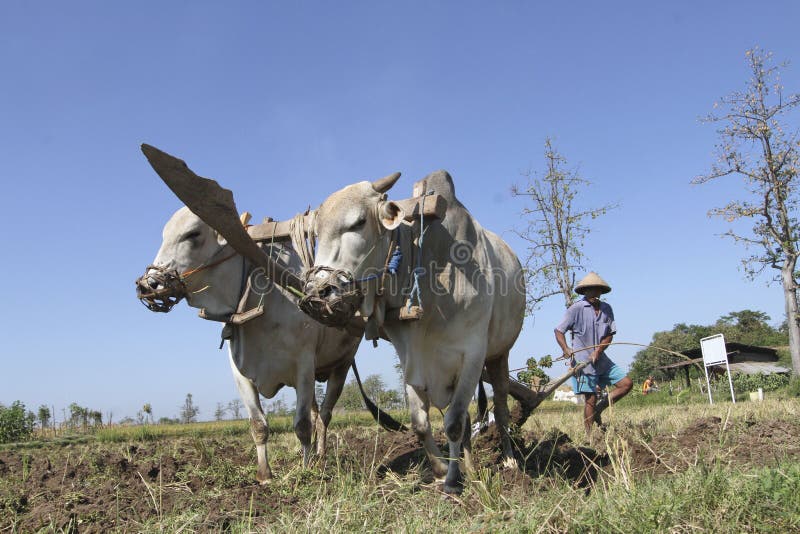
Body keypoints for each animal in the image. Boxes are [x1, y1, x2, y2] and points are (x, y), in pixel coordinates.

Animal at [135, 206, 363, 484]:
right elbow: (259, 425)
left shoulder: (304, 367)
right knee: (316, 411)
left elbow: (301, 426)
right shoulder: (241, 373)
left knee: (324, 416)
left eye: (192, 234)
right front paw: (264, 475)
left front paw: (305, 470)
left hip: (342, 365)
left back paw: (320, 458)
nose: (149, 284)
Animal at [303, 170, 525, 494]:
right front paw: (443, 468)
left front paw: (452, 480)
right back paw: (471, 466)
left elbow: (454, 423)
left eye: (358, 222)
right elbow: (421, 424)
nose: (317, 293)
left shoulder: (473, 354)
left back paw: (509, 460)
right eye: (316, 232)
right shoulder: (410, 356)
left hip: (500, 355)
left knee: (501, 407)